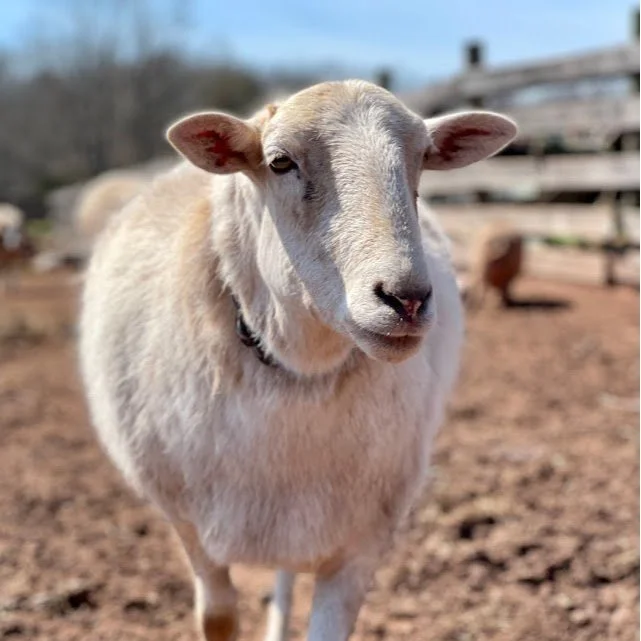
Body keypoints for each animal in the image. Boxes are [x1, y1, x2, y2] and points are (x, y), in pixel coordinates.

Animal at [79, 80, 516, 641]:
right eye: (280, 162)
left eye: (422, 159)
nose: (409, 299)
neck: (301, 367)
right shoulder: (191, 528)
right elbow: (218, 618)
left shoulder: (361, 541)